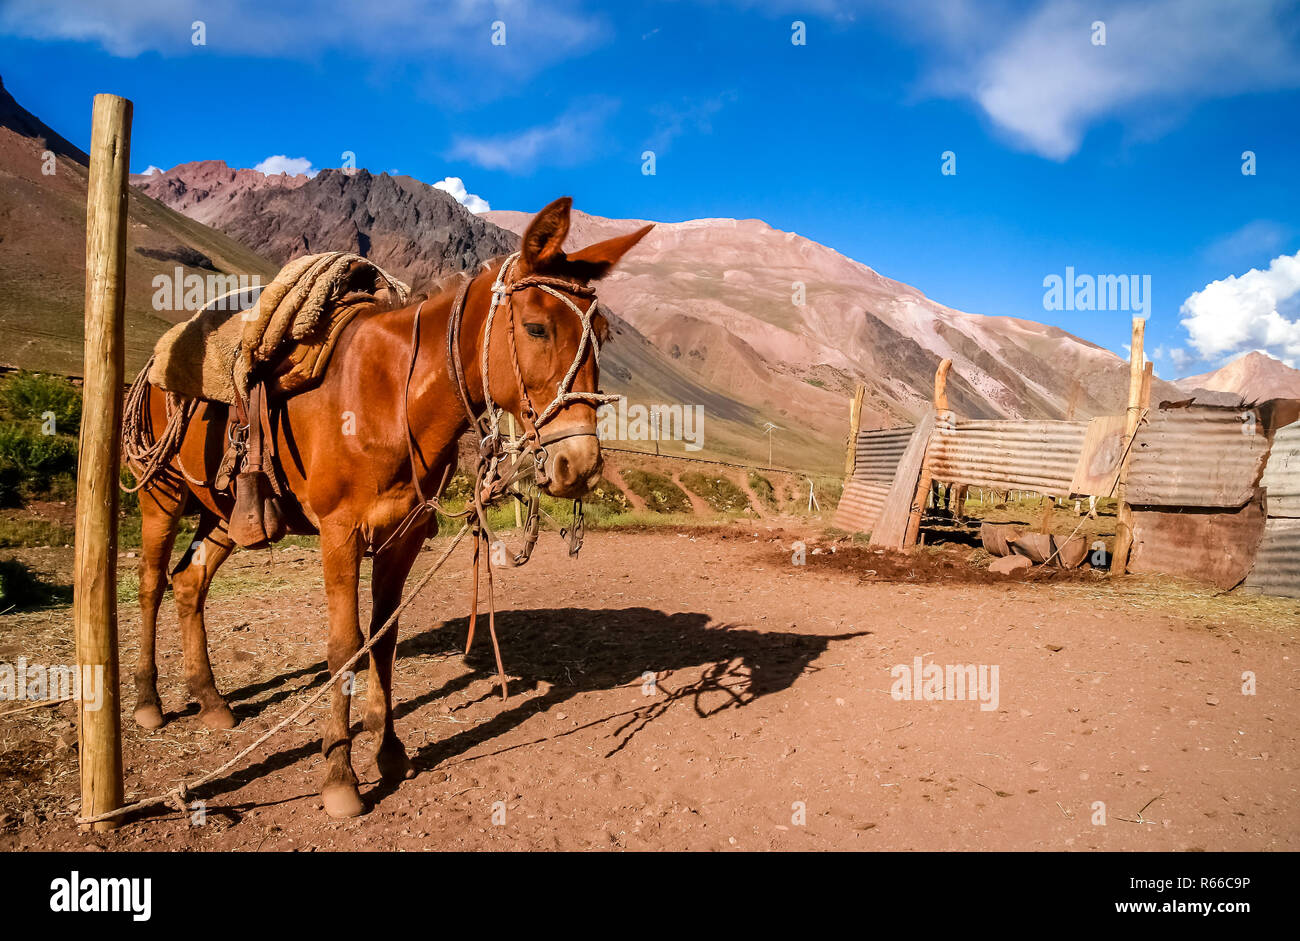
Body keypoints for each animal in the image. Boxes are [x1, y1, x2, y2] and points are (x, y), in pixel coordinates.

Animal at [128, 197, 652, 817]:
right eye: (536, 327)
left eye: (601, 336)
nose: (580, 464)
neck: (390, 395)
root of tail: (156, 363)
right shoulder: (340, 533)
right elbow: (344, 646)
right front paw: (339, 777)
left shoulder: (403, 535)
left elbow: (384, 638)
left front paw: (390, 753)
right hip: (162, 496)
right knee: (152, 583)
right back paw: (148, 701)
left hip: (226, 514)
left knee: (190, 583)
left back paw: (211, 702)